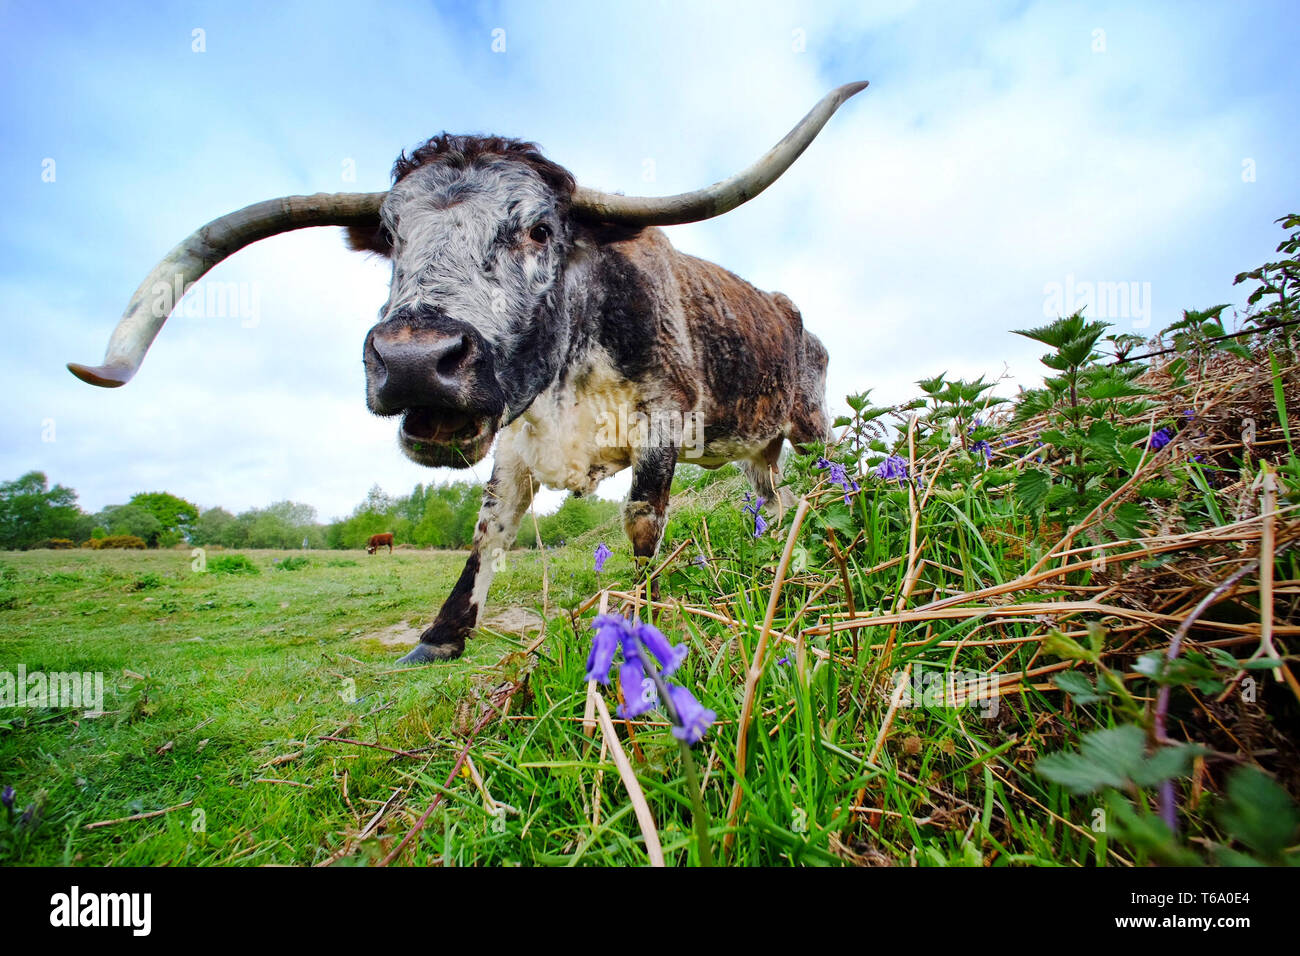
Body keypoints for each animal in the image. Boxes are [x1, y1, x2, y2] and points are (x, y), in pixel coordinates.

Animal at [68, 83, 867, 664]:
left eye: (540, 230)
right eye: (391, 237)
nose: (413, 361)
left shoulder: (662, 418)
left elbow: (642, 521)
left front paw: (648, 616)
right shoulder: (513, 440)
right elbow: (488, 532)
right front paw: (438, 637)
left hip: (811, 422)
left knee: (829, 471)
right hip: (758, 446)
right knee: (770, 497)